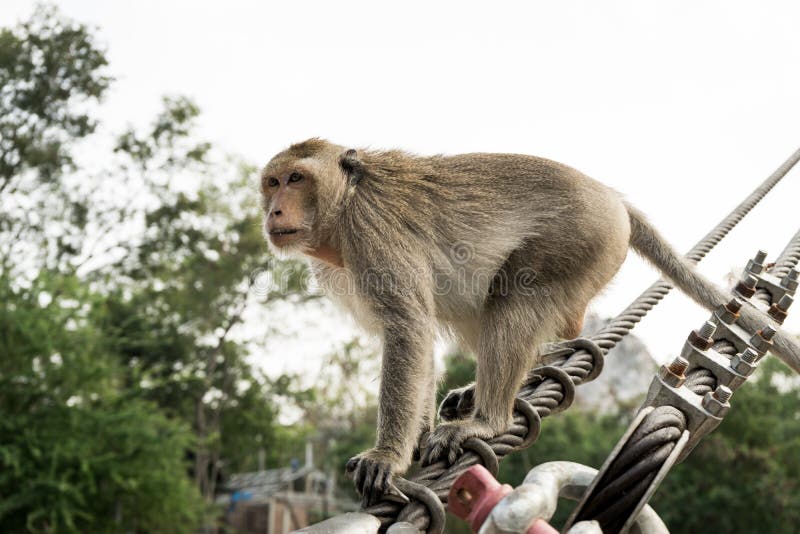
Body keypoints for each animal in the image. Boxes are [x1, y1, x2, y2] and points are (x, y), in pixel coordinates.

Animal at [259, 138, 800, 508]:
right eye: (272, 182)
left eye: (297, 179)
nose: (274, 210)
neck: (344, 206)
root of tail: (613, 197)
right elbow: (420, 337)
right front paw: (411, 442)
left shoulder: (371, 233)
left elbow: (408, 327)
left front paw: (386, 455)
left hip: (583, 237)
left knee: (513, 295)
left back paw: (487, 418)